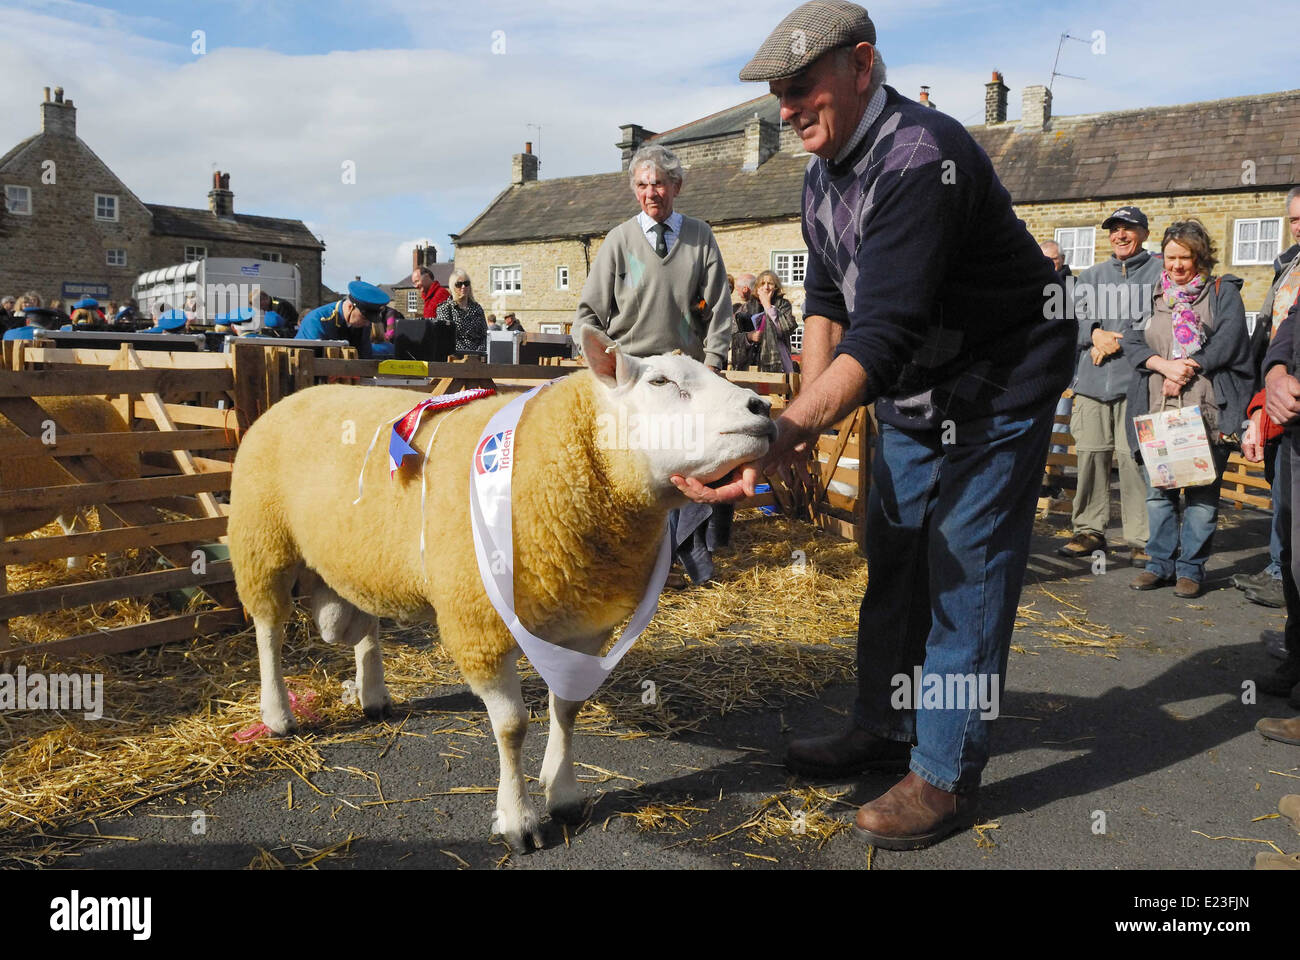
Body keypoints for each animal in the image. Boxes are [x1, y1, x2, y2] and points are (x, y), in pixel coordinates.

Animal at [0, 397, 139, 570]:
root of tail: (107, 404)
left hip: (119, 477)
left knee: (112, 523)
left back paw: (114, 565)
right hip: (68, 496)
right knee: (79, 529)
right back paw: (73, 571)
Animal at [229, 326, 777, 849]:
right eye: (661, 382)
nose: (764, 409)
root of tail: (299, 393)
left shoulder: (586, 626)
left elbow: (567, 709)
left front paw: (563, 792)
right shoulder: (479, 625)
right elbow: (512, 727)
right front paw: (518, 820)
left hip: (360, 562)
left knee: (363, 627)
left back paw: (374, 695)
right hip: (262, 543)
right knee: (270, 631)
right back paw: (278, 715)